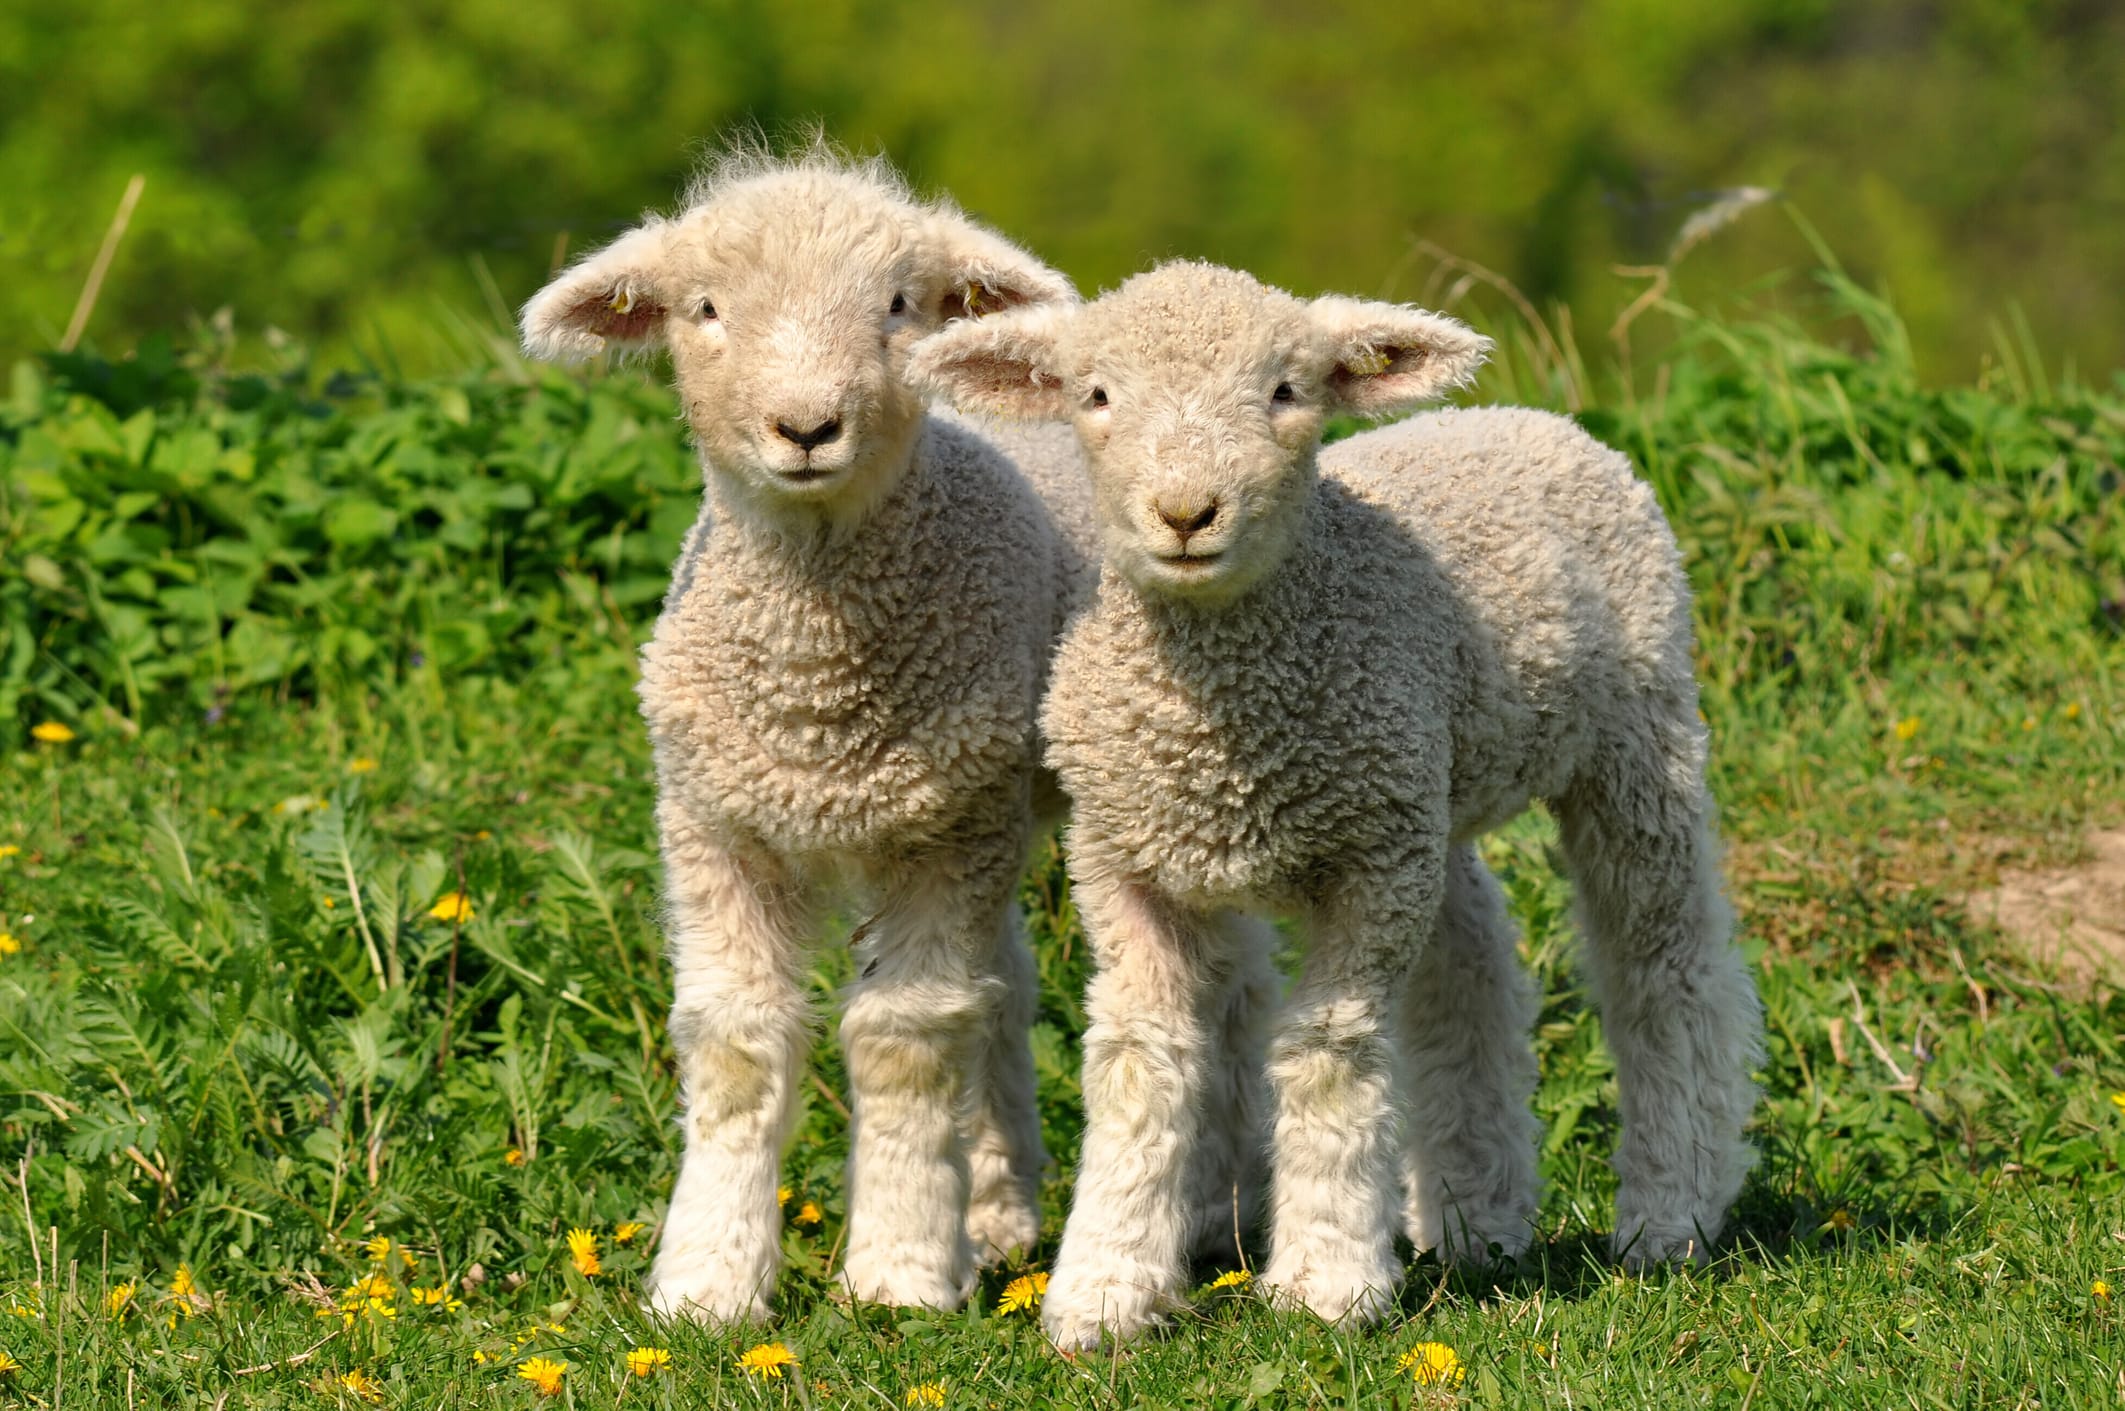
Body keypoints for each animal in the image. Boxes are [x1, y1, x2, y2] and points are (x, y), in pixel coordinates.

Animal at [518, 145, 1095, 1323]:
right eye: (704, 308)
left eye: (899, 305)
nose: (805, 427)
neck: (814, 696)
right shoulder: (714, 825)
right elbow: (736, 1042)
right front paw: (706, 1282)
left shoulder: (942, 833)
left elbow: (905, 1038)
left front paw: (902, 1273)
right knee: (1007, 983)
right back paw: (996, 1204)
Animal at [910, 260, 1764, 1346]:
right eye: (1094, 395)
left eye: (1286, 390)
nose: (1186, 512)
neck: (1222, 726)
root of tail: (1532, 420)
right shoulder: (1124, 863)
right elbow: (1141, 1063)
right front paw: (1105, 1290)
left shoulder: (1369, 868)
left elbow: (1327, 1053)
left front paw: (1325, 1281)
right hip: (1429, 786)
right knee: (1470, 960)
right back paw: (1475, 1217)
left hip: (1633, 736)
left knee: (1664, 964)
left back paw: (1671, 1210)